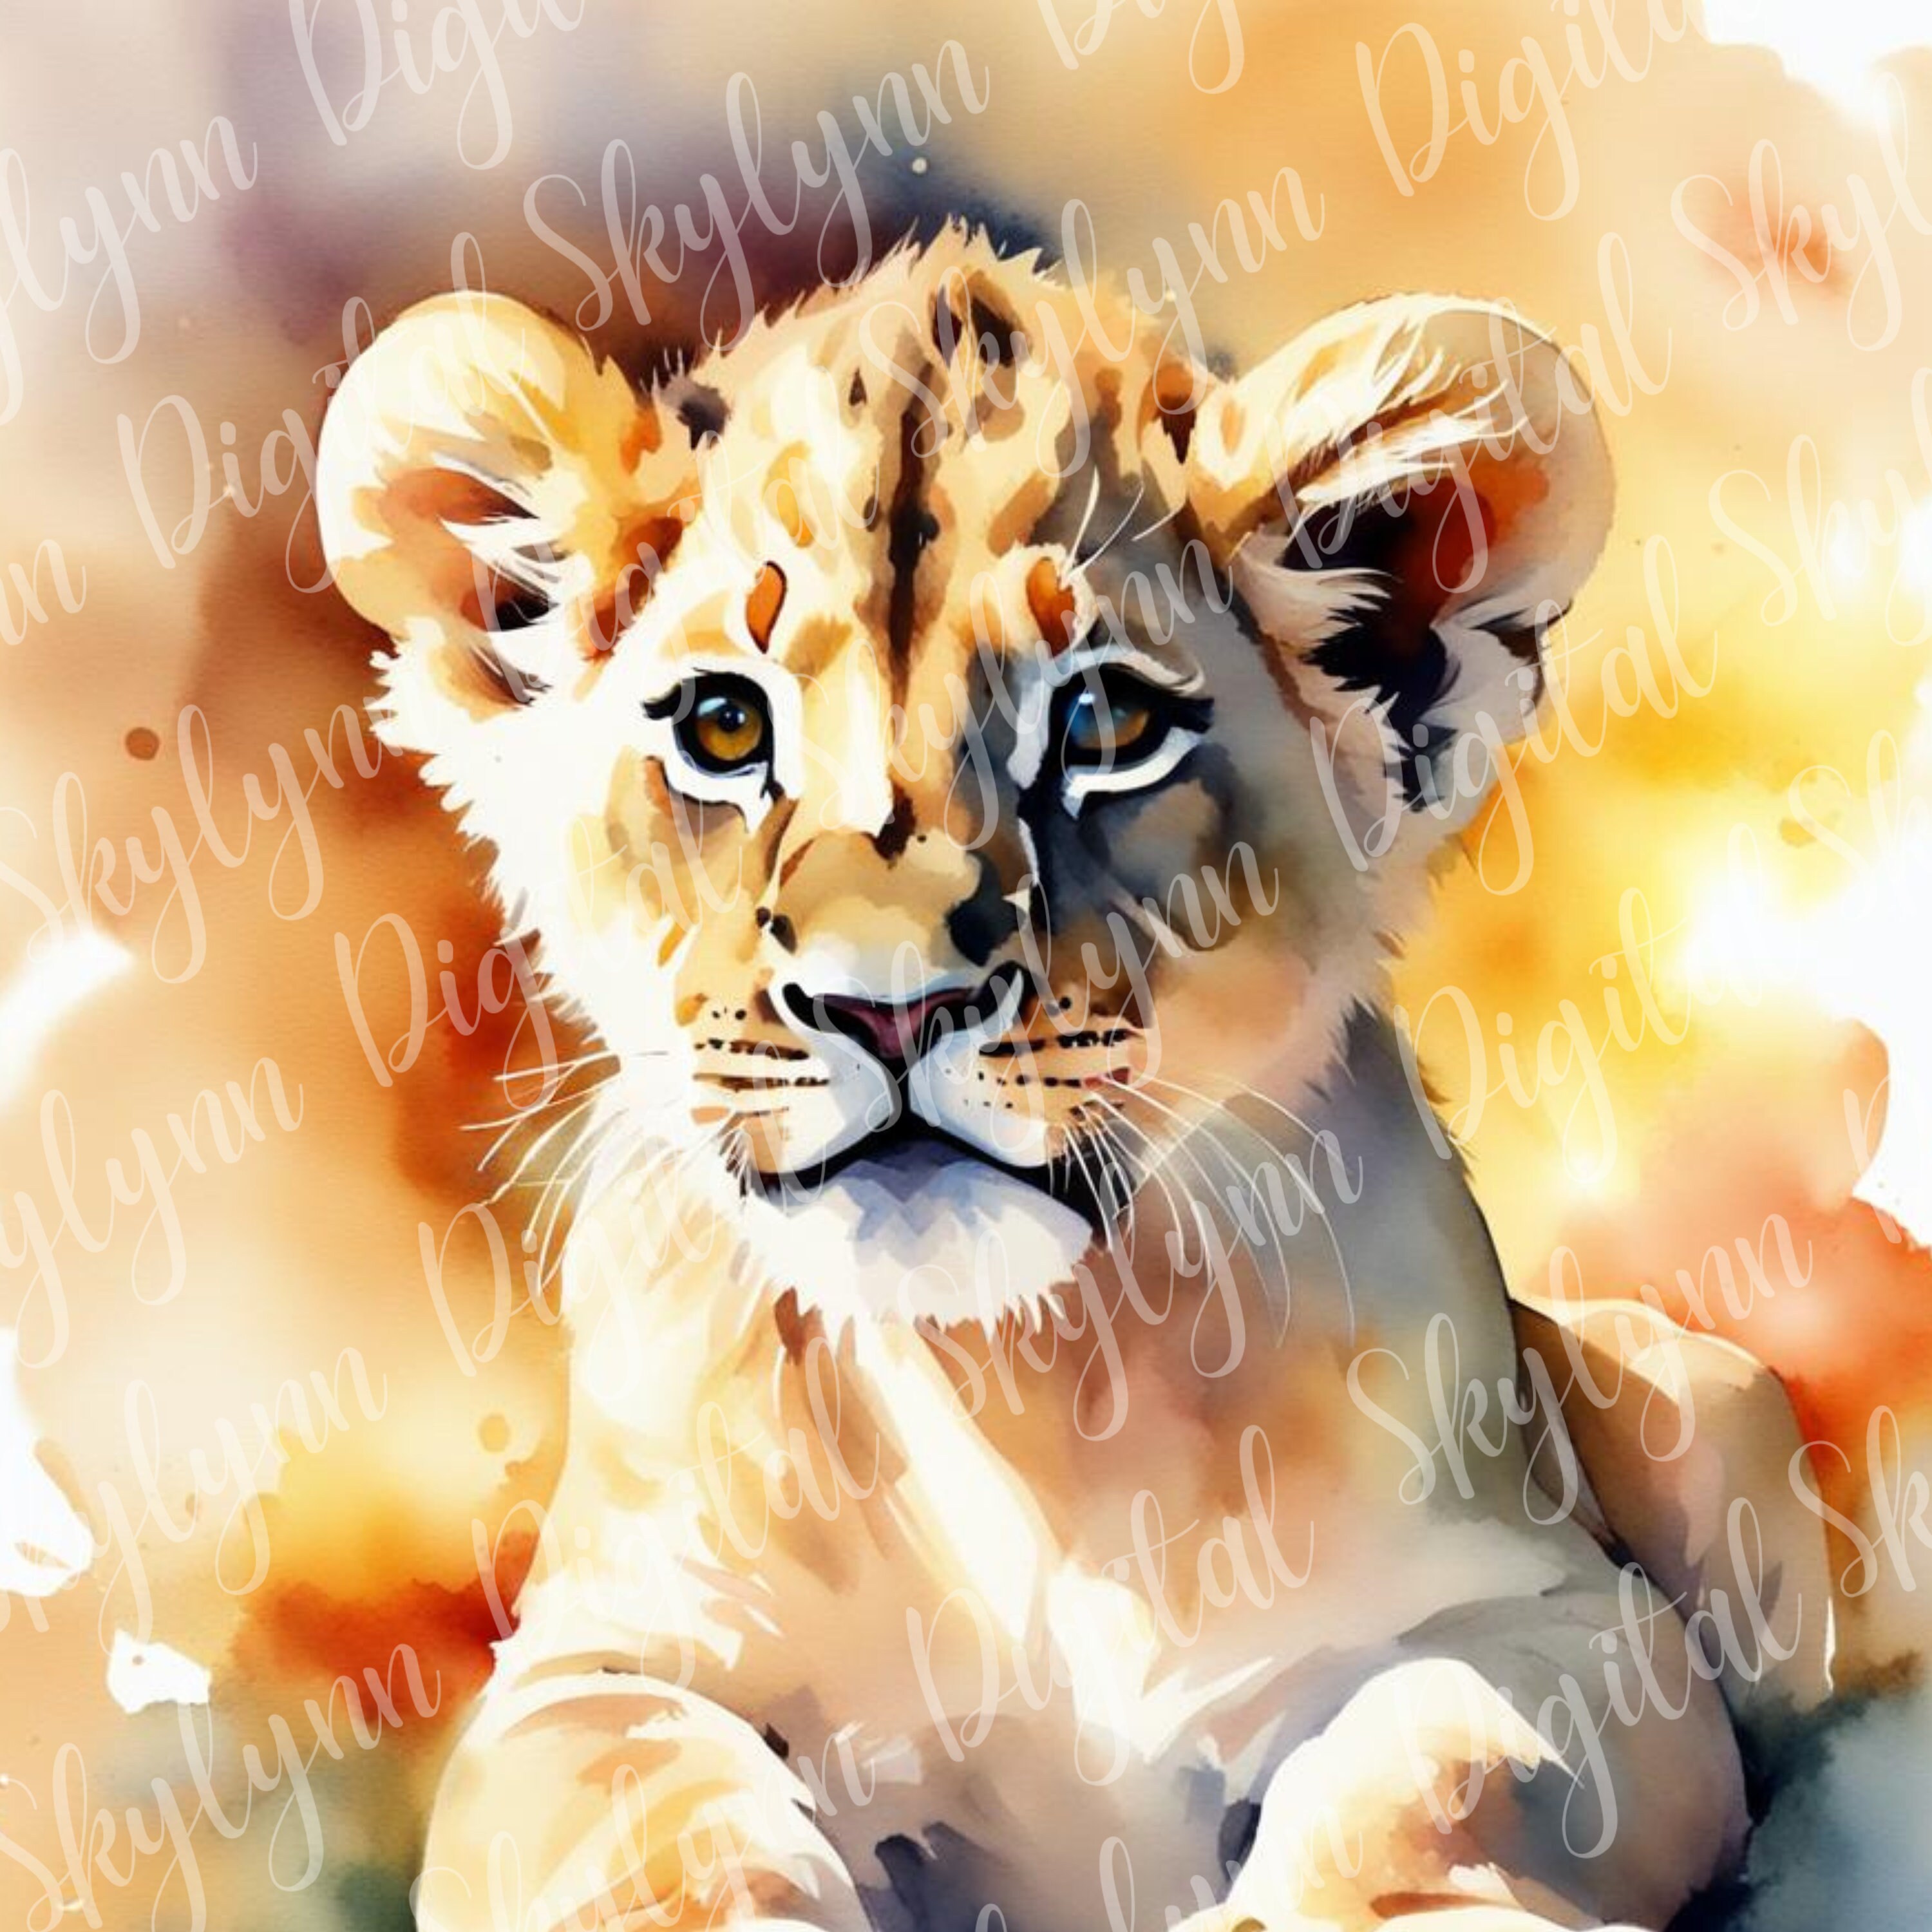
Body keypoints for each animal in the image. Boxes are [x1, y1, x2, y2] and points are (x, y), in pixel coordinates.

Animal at [315, 228, 1833, 1932]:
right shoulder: (603, 1663)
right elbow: (647, 1820)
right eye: (720, 723)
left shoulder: (1575, 1620)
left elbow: (1430, 1760)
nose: (888, 1005)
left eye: (1104, 721)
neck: (1014, 1388)